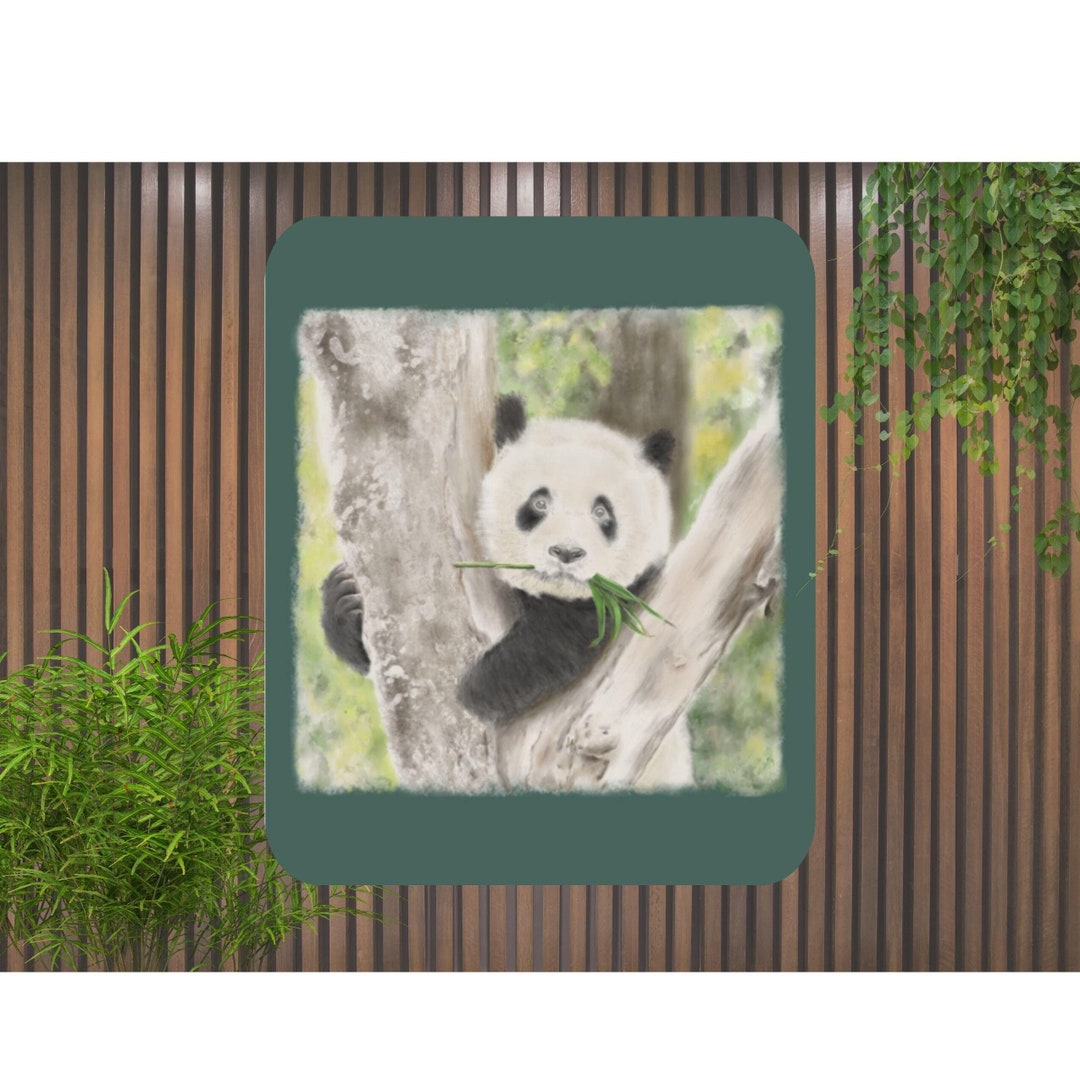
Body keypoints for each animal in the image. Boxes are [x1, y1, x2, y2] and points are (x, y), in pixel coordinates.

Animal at [321, 394, 675, 725]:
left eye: (602, 511)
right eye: (539, 502)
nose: (566, 552)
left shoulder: (619, 595)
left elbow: (557, 640)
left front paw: (474, 689)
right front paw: (344, 597)